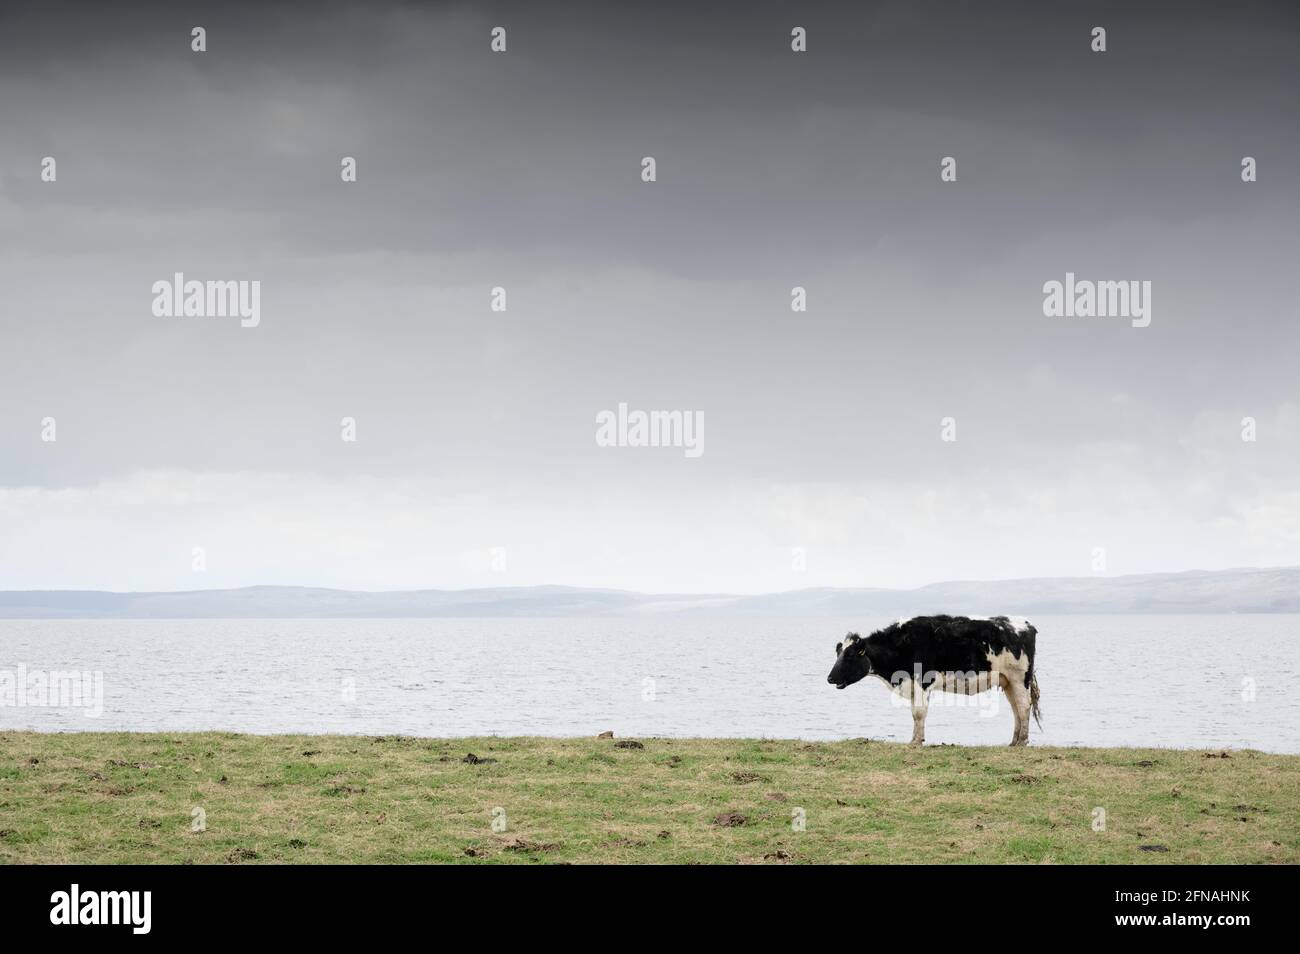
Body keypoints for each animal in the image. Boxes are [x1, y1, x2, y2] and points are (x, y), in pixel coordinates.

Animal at [826, 615, 1042, 746]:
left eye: (849, 656)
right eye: (838, 653)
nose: (829, 678)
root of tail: (1024, 623)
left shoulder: (922, 681)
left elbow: (919, 713)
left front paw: (917, 741)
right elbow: (915, 714)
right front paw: (915, 739)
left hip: (1019, 678)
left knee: (1024, 707)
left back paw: (1022, 741)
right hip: (1008, 681)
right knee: (1016, 708)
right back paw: (1013, 741)